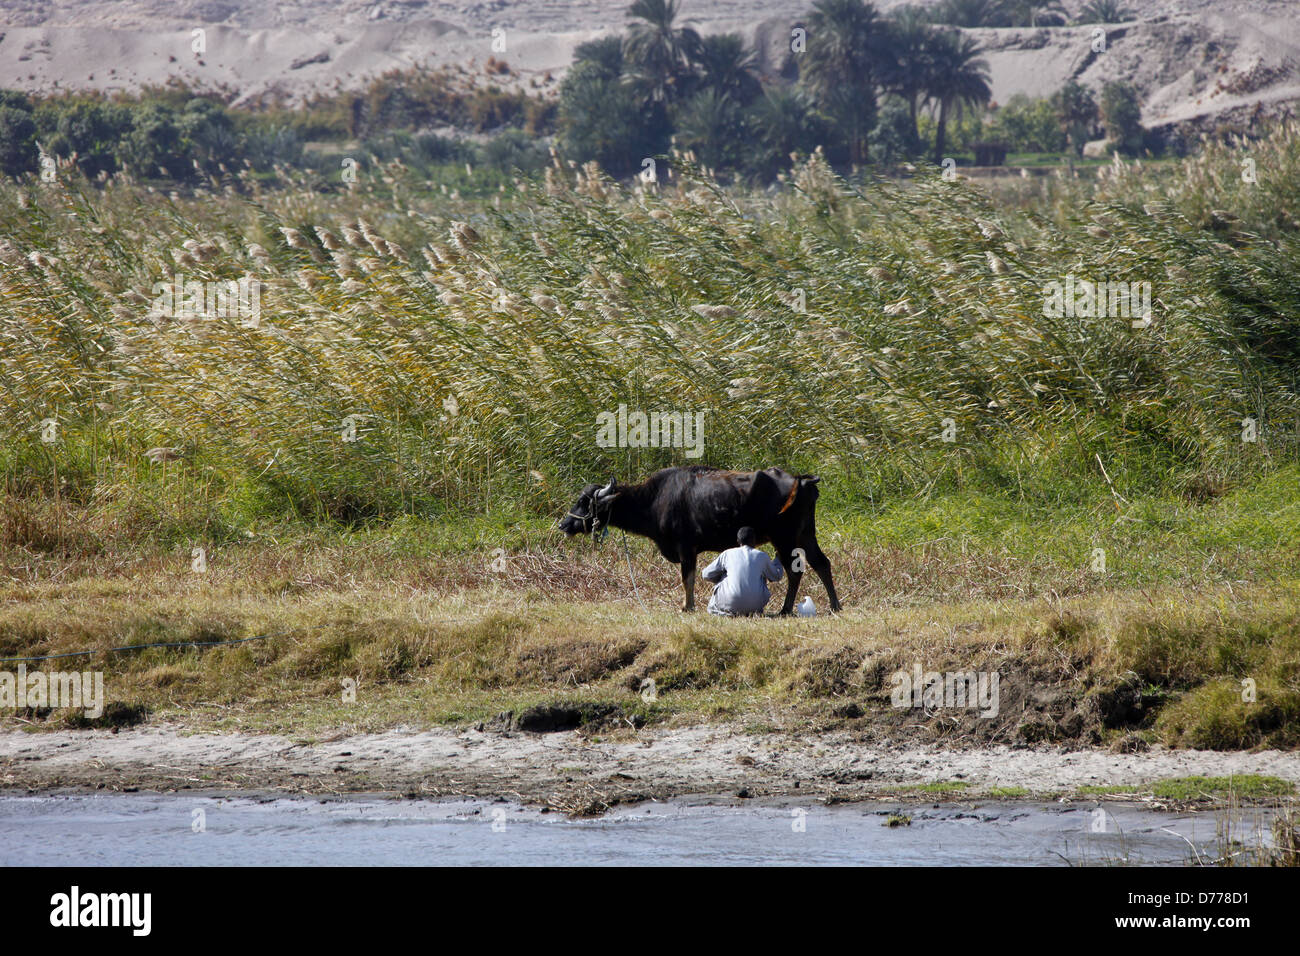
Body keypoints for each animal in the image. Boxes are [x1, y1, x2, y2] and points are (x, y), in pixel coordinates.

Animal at [559, 465, 842, 614]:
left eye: (585, 501)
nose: (564, 524)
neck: (654, 499)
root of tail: (801, 480)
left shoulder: (686, 548)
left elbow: (688, 578)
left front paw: (688, 606)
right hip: (806, 535)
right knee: (821, 563)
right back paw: (834, 605)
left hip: (784, 539)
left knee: (796, 572)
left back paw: (785, 609)